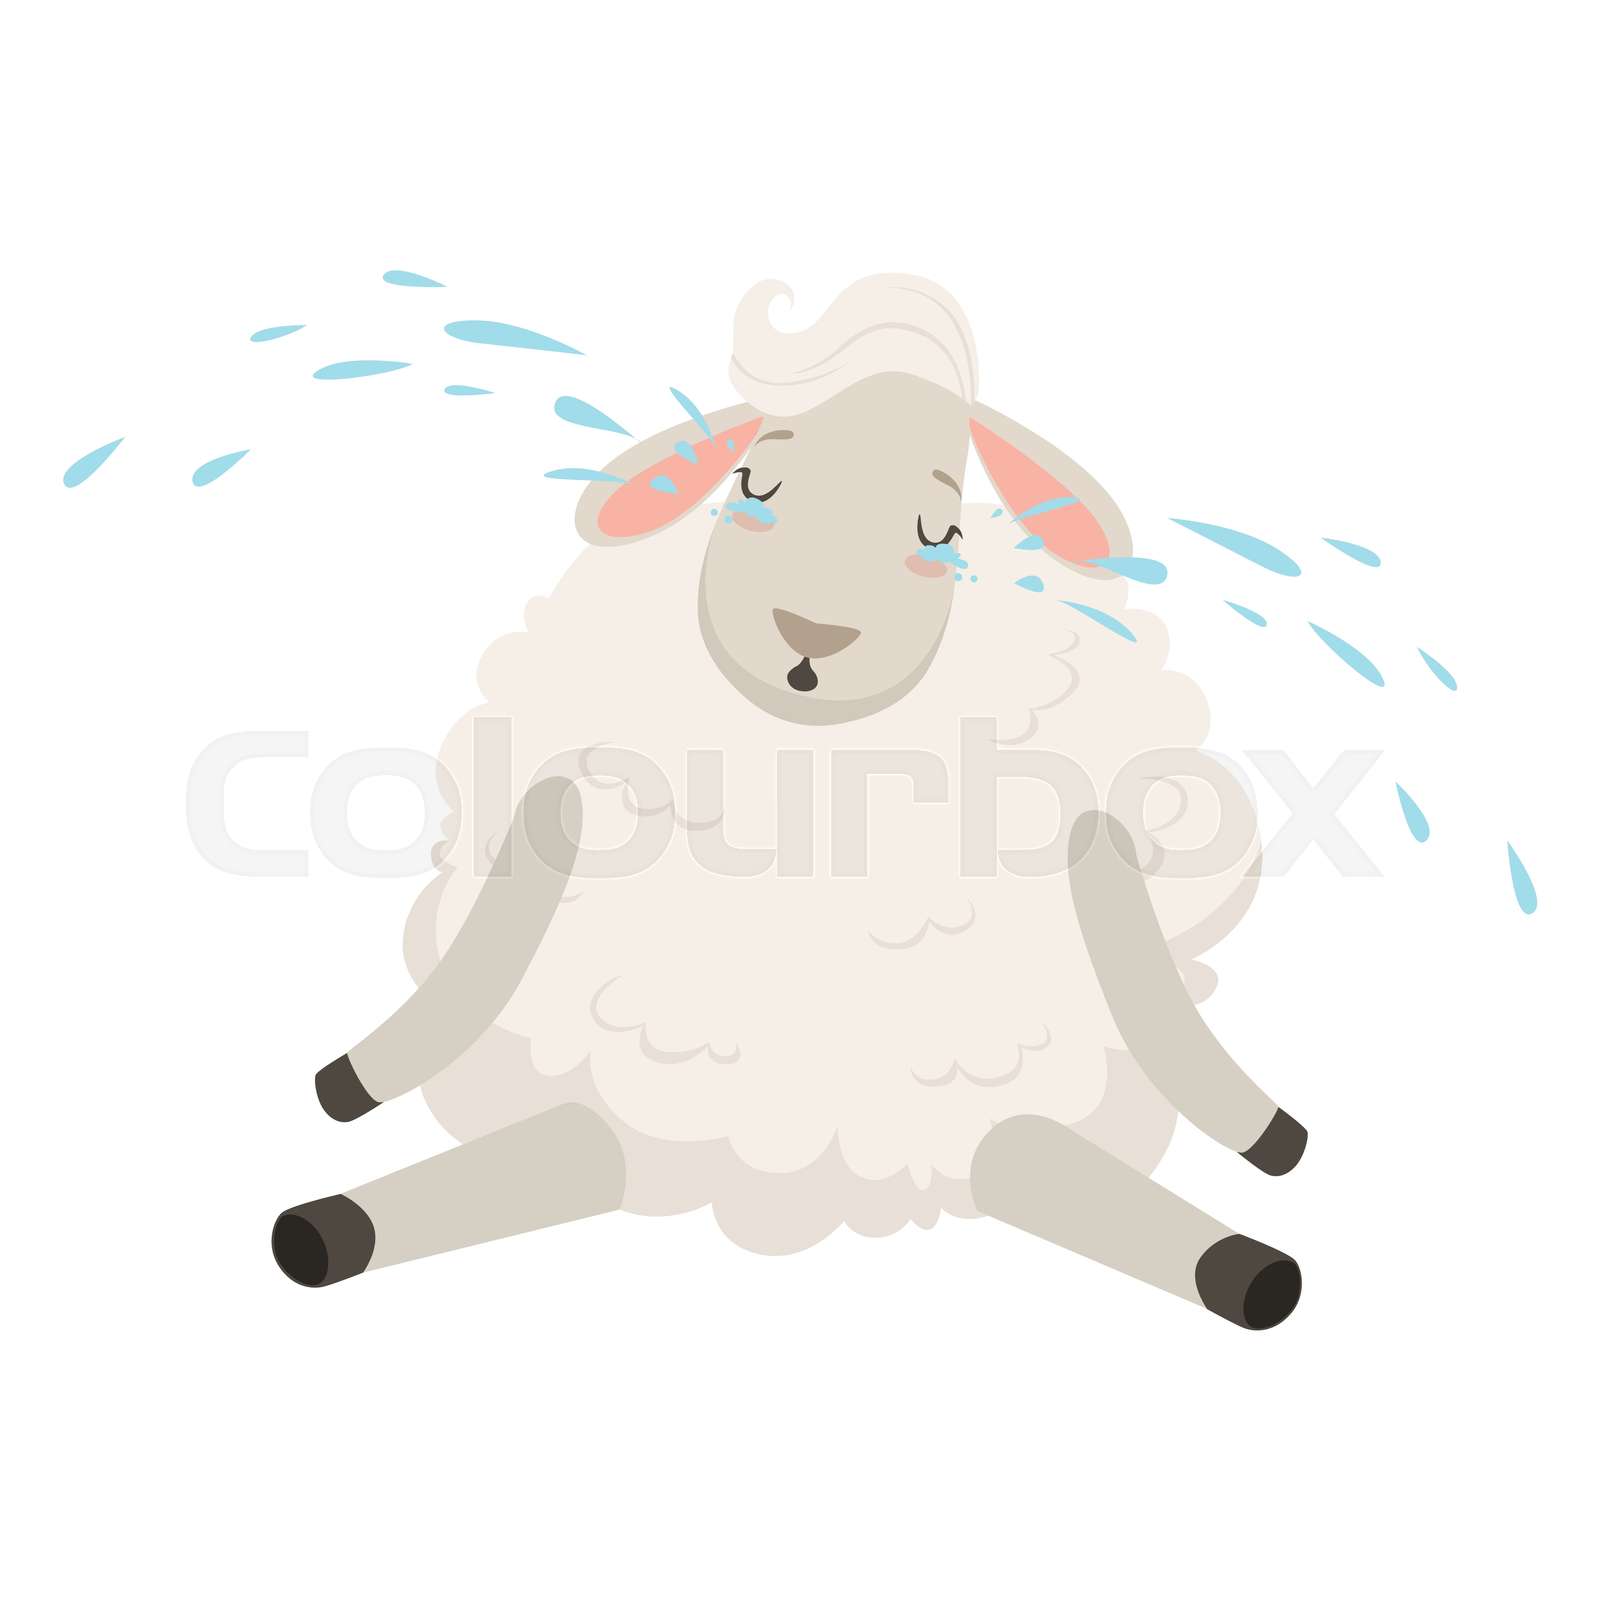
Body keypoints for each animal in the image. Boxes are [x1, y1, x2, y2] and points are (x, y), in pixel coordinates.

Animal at [272, 275, 1307, 1330]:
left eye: (941, 536)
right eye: (752, 489)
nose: (812, 635)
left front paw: (1275, 1157)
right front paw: (340, 1097)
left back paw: (1253, 1268)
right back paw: (323, 1228)